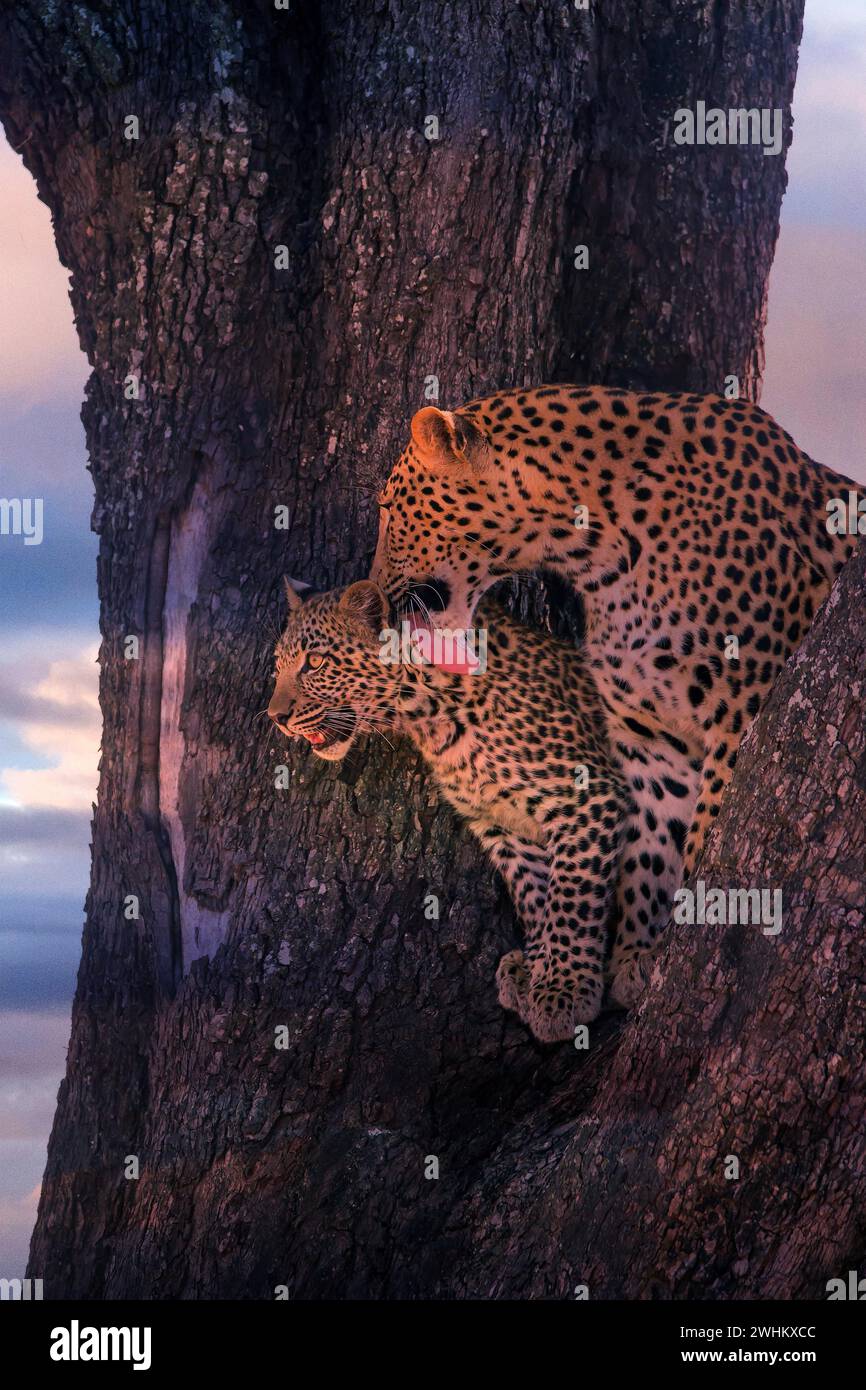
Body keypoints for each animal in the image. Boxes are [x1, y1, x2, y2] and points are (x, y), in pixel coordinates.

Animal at [268, 578, 700, 1042]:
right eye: (278, 666)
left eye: (315, 662)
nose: (276, 717)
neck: (428, 717)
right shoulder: (500, 825)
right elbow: (535, 895)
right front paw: (534, 970)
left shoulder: (586, 797)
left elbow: (572, 899)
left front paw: (563, 991)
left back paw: (638, 957)